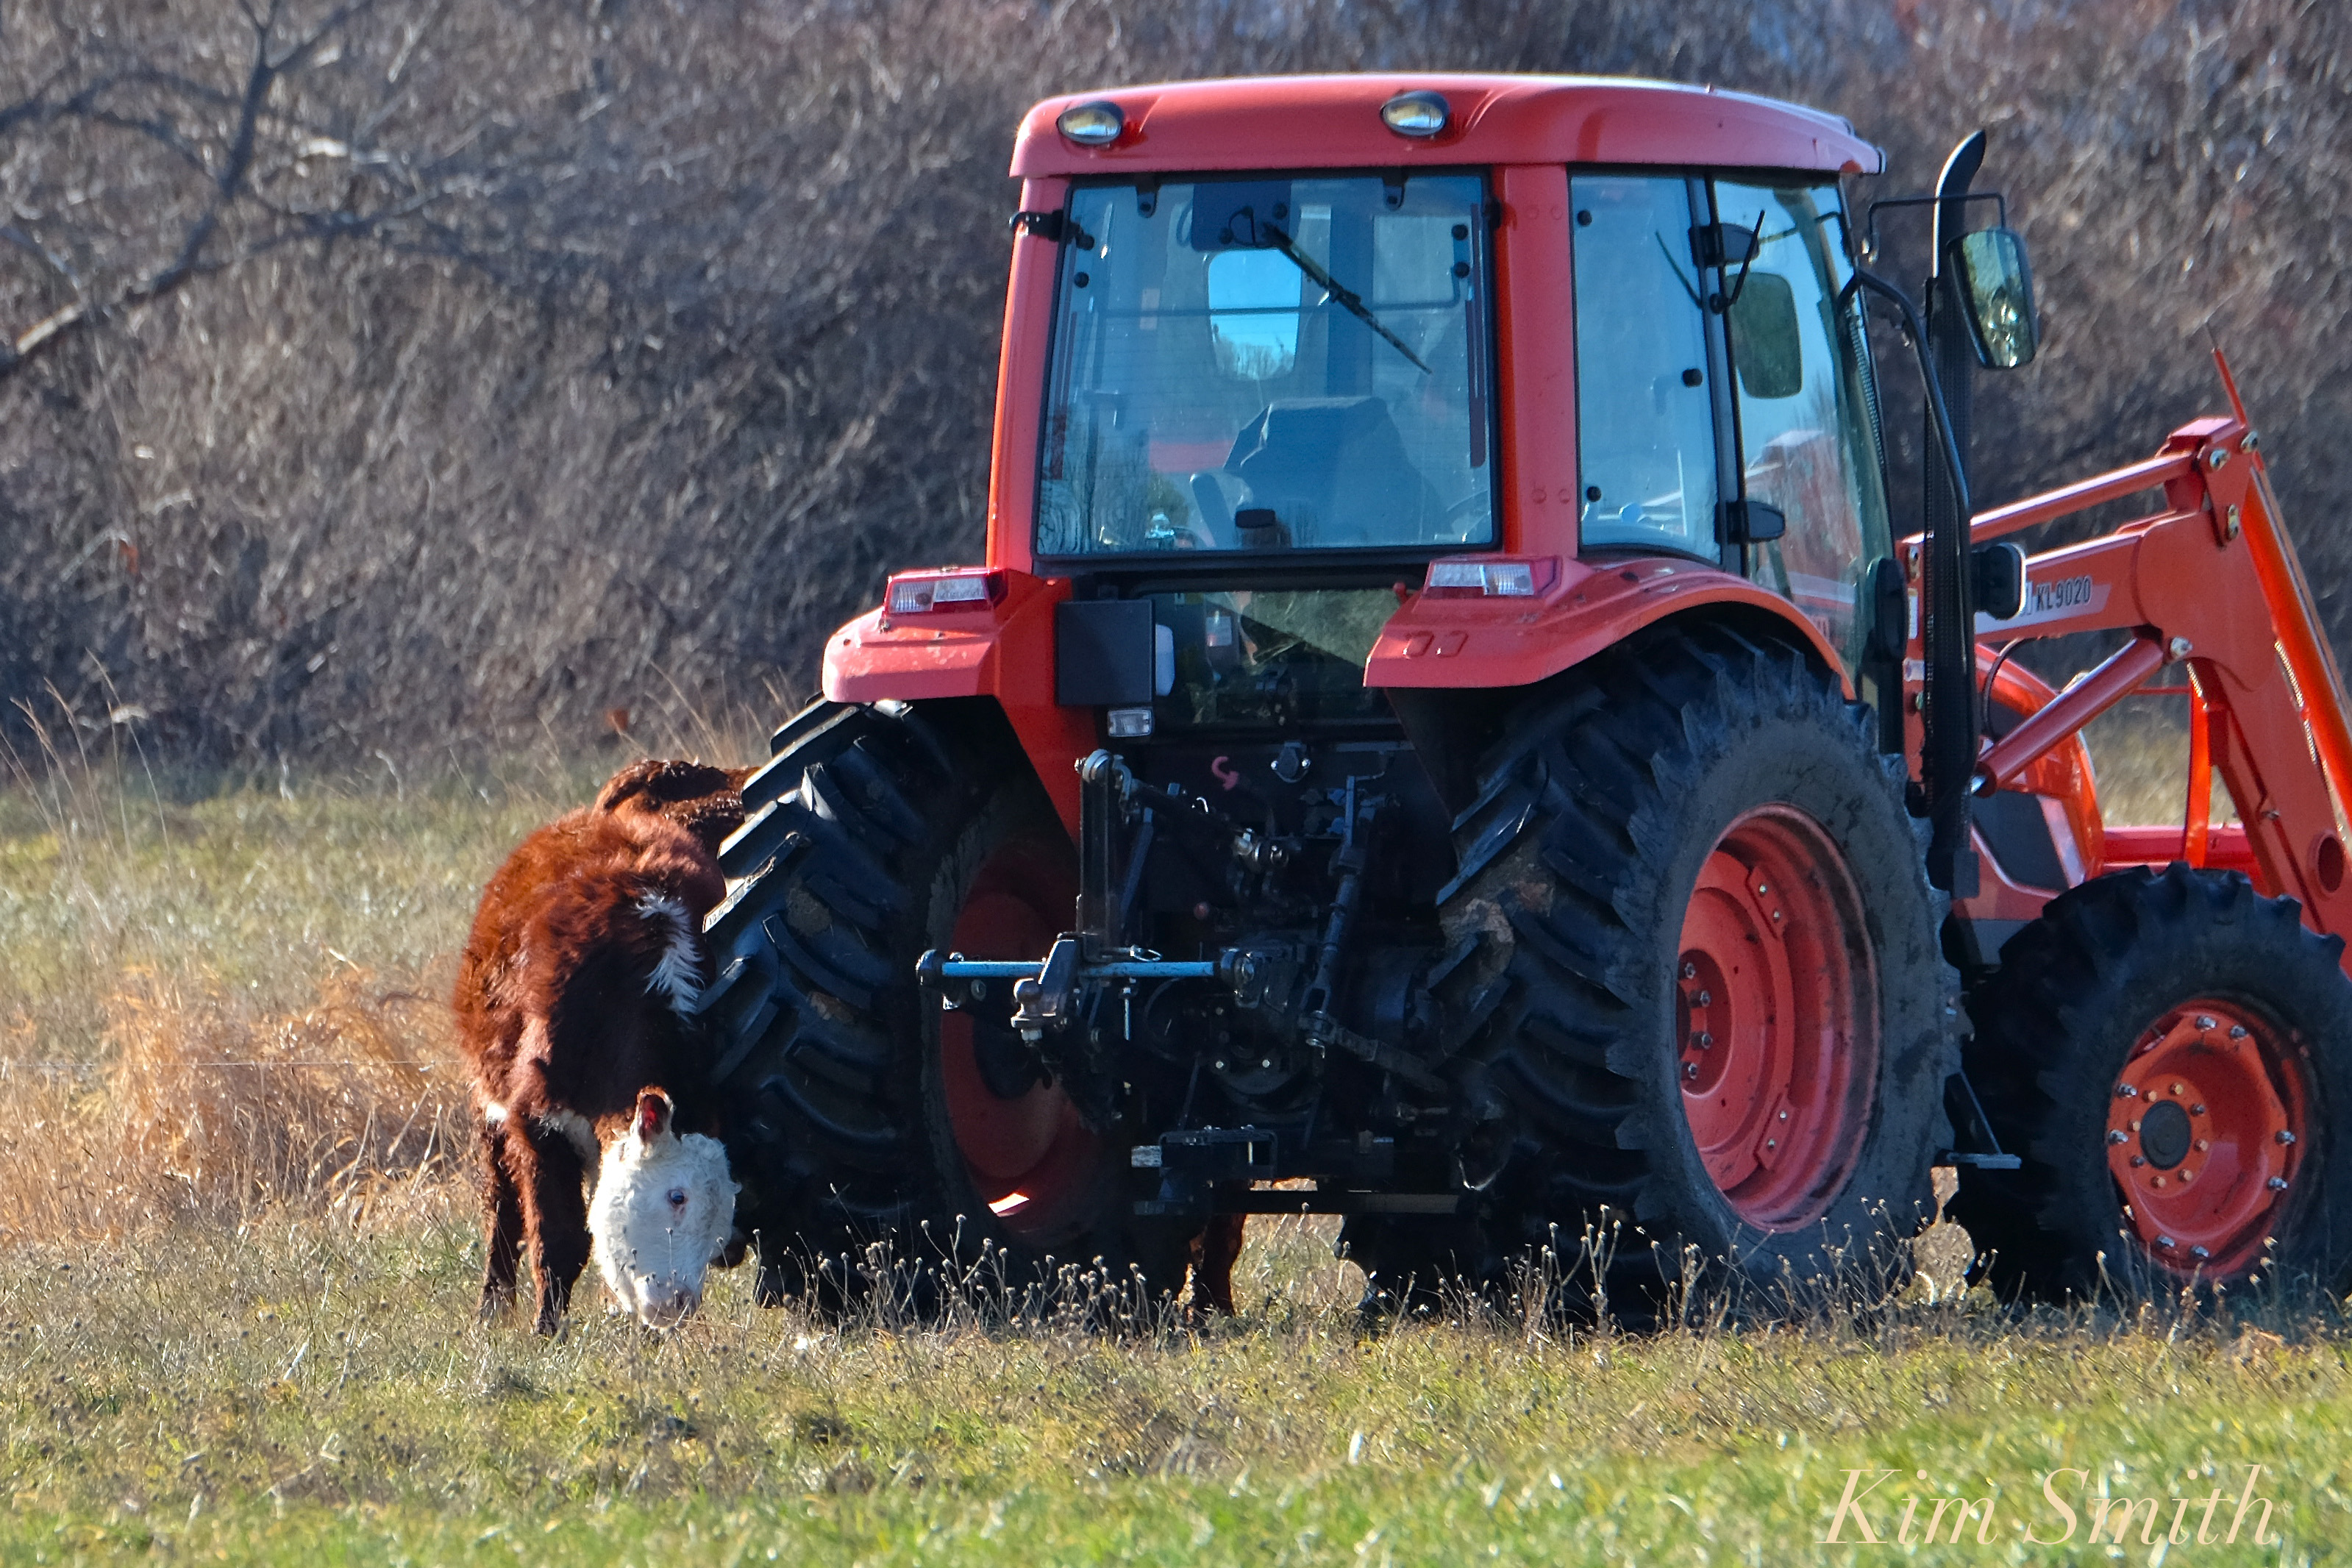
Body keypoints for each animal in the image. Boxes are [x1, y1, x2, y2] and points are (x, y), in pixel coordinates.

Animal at [455, 758, 752, 1333]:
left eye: (726, 1207)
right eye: (676, 1196)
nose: (678, 1304)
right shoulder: (536, 1122)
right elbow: (559, 1241)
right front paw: (547, 1331)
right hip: (488, 1104)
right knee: (500, 1207)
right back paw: (491, 1306)